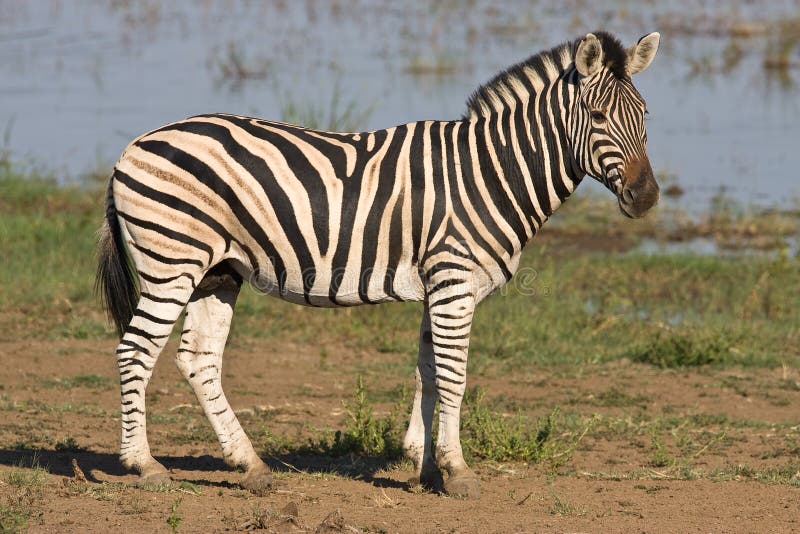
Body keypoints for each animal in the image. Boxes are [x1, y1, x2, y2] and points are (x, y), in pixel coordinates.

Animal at [97, 31, 660, 498]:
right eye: (600, 119)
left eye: (646, 116)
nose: (648, 198)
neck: (491, 173)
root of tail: (132, 147)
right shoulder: (454, 280)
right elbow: (454, 376)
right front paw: (458, 472)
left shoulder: (439, 285)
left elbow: (428, 372)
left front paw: (425, 465)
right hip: (173, 262)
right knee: (135, 351)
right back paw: (144, 465)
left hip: (217, 272)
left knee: (199, 359)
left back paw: (249, 465)